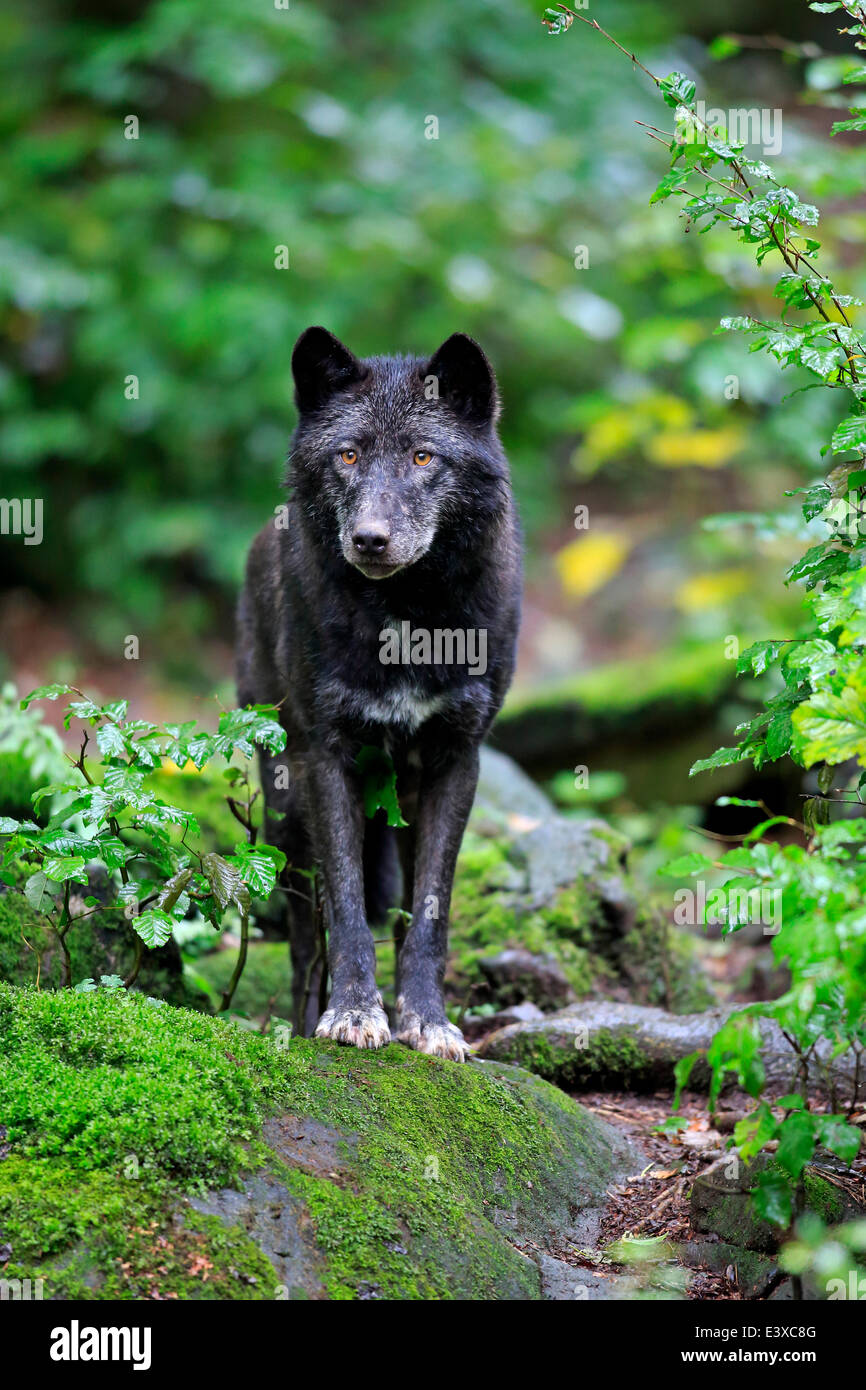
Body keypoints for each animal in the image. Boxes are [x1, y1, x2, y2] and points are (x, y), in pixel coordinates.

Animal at [236, 326, 521, 1059]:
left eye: (423, 456)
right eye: (348, 455)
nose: (369, 539)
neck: (407, 620)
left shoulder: (456, 761)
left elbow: (427, 916)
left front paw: (428, 1021)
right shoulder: (324, 756)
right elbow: (345, 910)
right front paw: (354, 1015)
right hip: (284, 808)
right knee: (305, 940)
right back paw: (304, 1022)